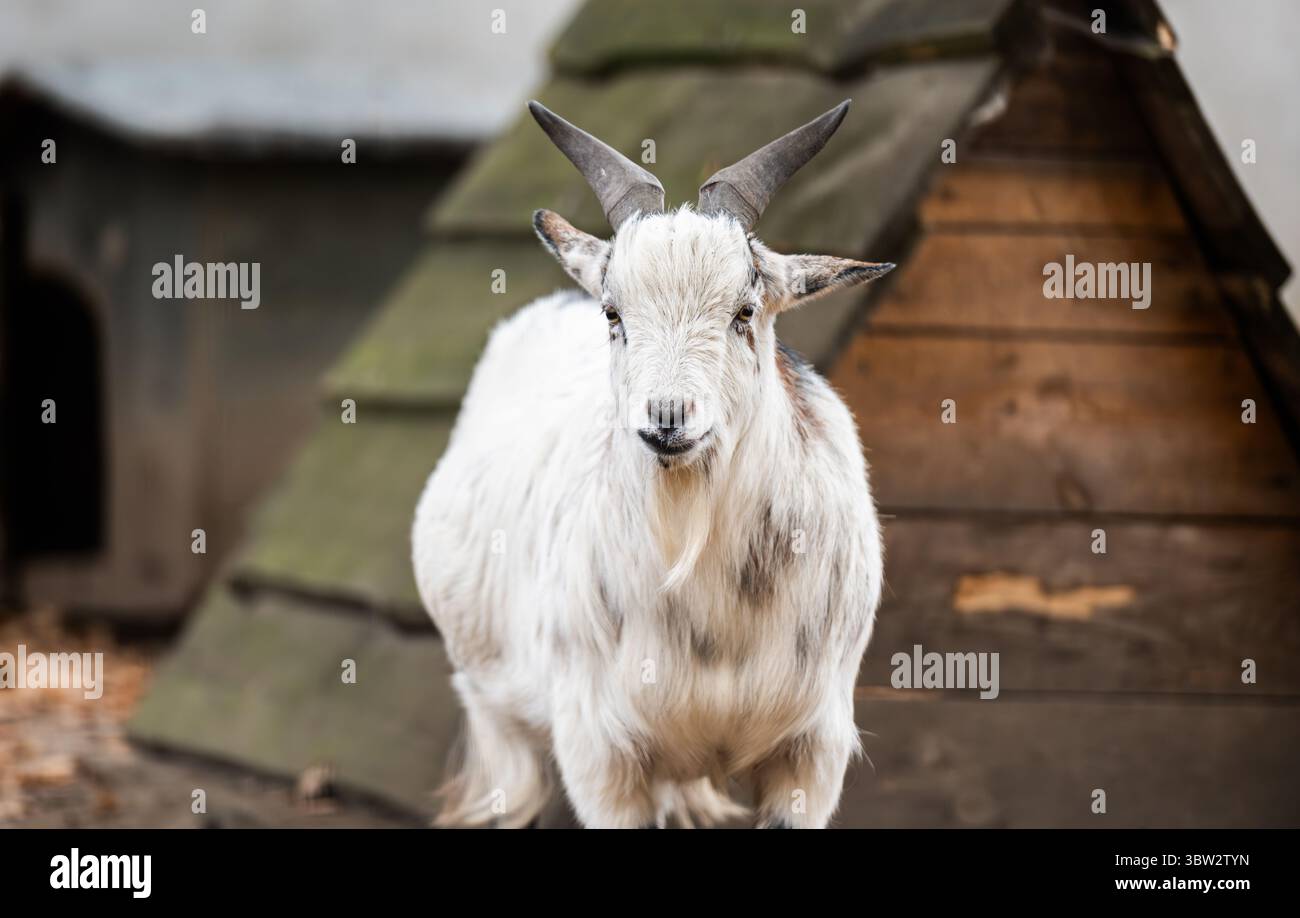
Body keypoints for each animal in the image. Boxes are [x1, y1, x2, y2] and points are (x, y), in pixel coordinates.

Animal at [412, 99, 892, 828]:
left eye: (744, 311)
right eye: (614, 314)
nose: (667, 419)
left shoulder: (812, 750)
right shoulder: (599, 754)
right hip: (493, 707)